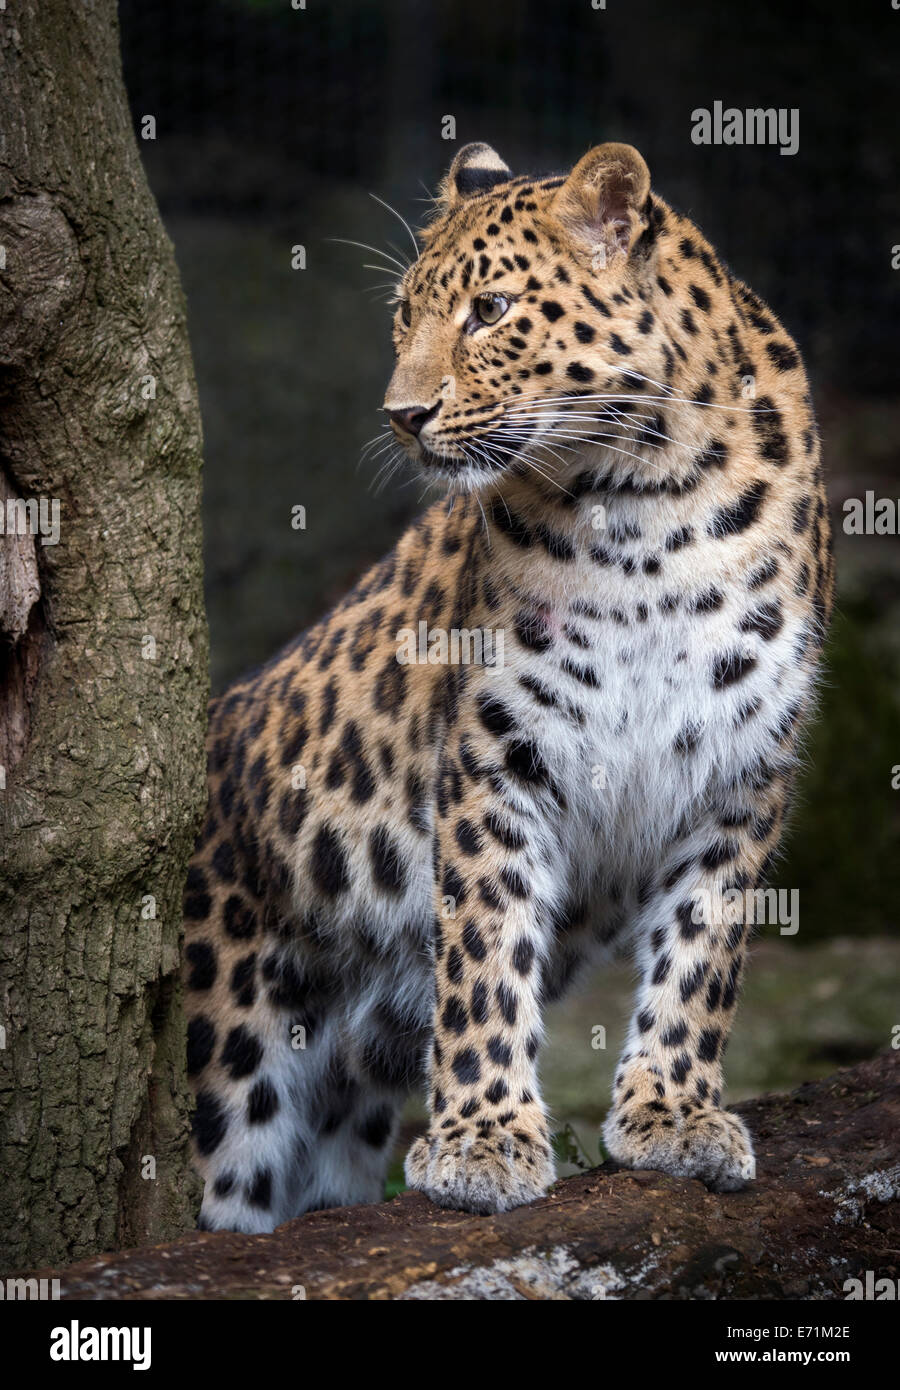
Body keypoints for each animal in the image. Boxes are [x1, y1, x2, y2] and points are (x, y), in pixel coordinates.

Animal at [183, 141, 834, 1232]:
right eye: (404, 314)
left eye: (489, 310)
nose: (402, 415)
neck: (645, 502)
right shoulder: (498, 759)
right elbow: (485, 958)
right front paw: (483, 1141)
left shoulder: (743, 770)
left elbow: (702, 955)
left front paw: (675, 1114)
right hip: (234, 1057)